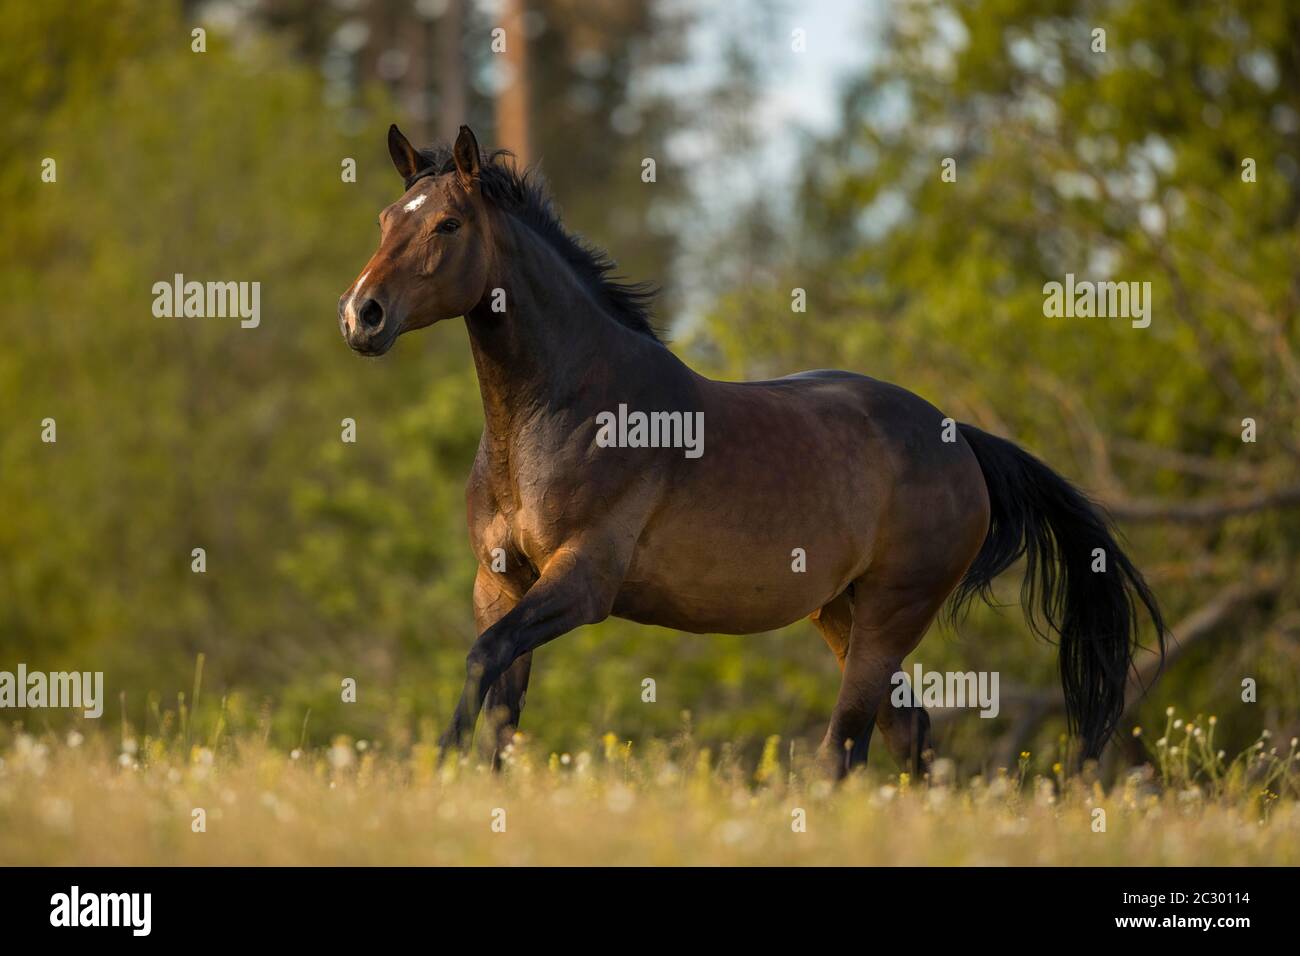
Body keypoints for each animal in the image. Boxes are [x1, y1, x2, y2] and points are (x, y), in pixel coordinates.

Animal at [338, 124, 1166, 777]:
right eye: (383, 218)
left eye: (447, 225)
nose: (360, 315)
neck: (558, 413)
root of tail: (959, 437)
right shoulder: (502, 583)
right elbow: (502, 712)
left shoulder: (581, 581)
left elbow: (483, 662)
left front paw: (434, 771)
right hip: (841, 611)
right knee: (907, 731)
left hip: (893, 611)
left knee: (845, 746)